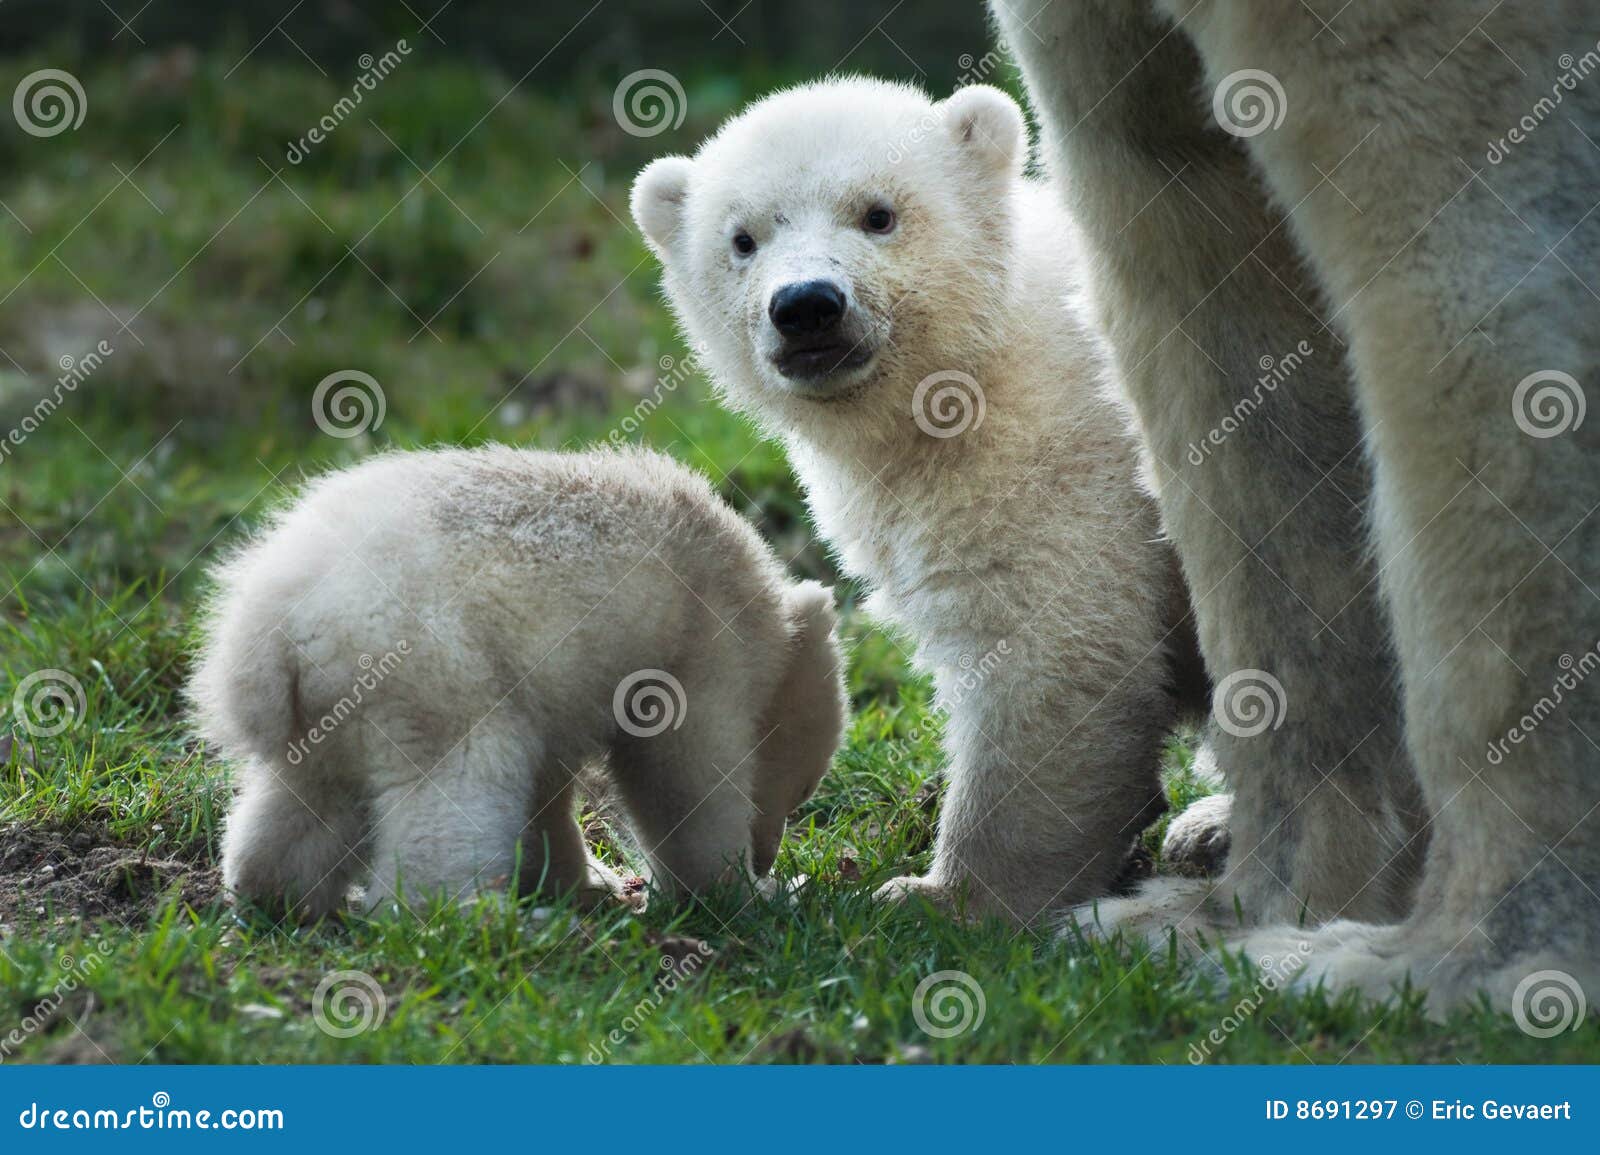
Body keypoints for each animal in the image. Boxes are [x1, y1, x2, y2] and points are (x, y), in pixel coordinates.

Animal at [187, 445, 848, 919]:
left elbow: (548, 794)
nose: (766, 856)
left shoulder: (557, 688)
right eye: (803, 788)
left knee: (305, 798)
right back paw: (475, 917)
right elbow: (684, 780)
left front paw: (586, 883)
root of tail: (272, 624)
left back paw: (273, 896)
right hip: (433, 667)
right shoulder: (695, 647)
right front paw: (753, 892)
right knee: (460, 786)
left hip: (327, 708)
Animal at [631, 77, 1195, 927]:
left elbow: (1054, 661)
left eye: (878, 214)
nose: (807, 305)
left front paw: (943, 896)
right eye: (743, 238)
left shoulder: (1056, 465)